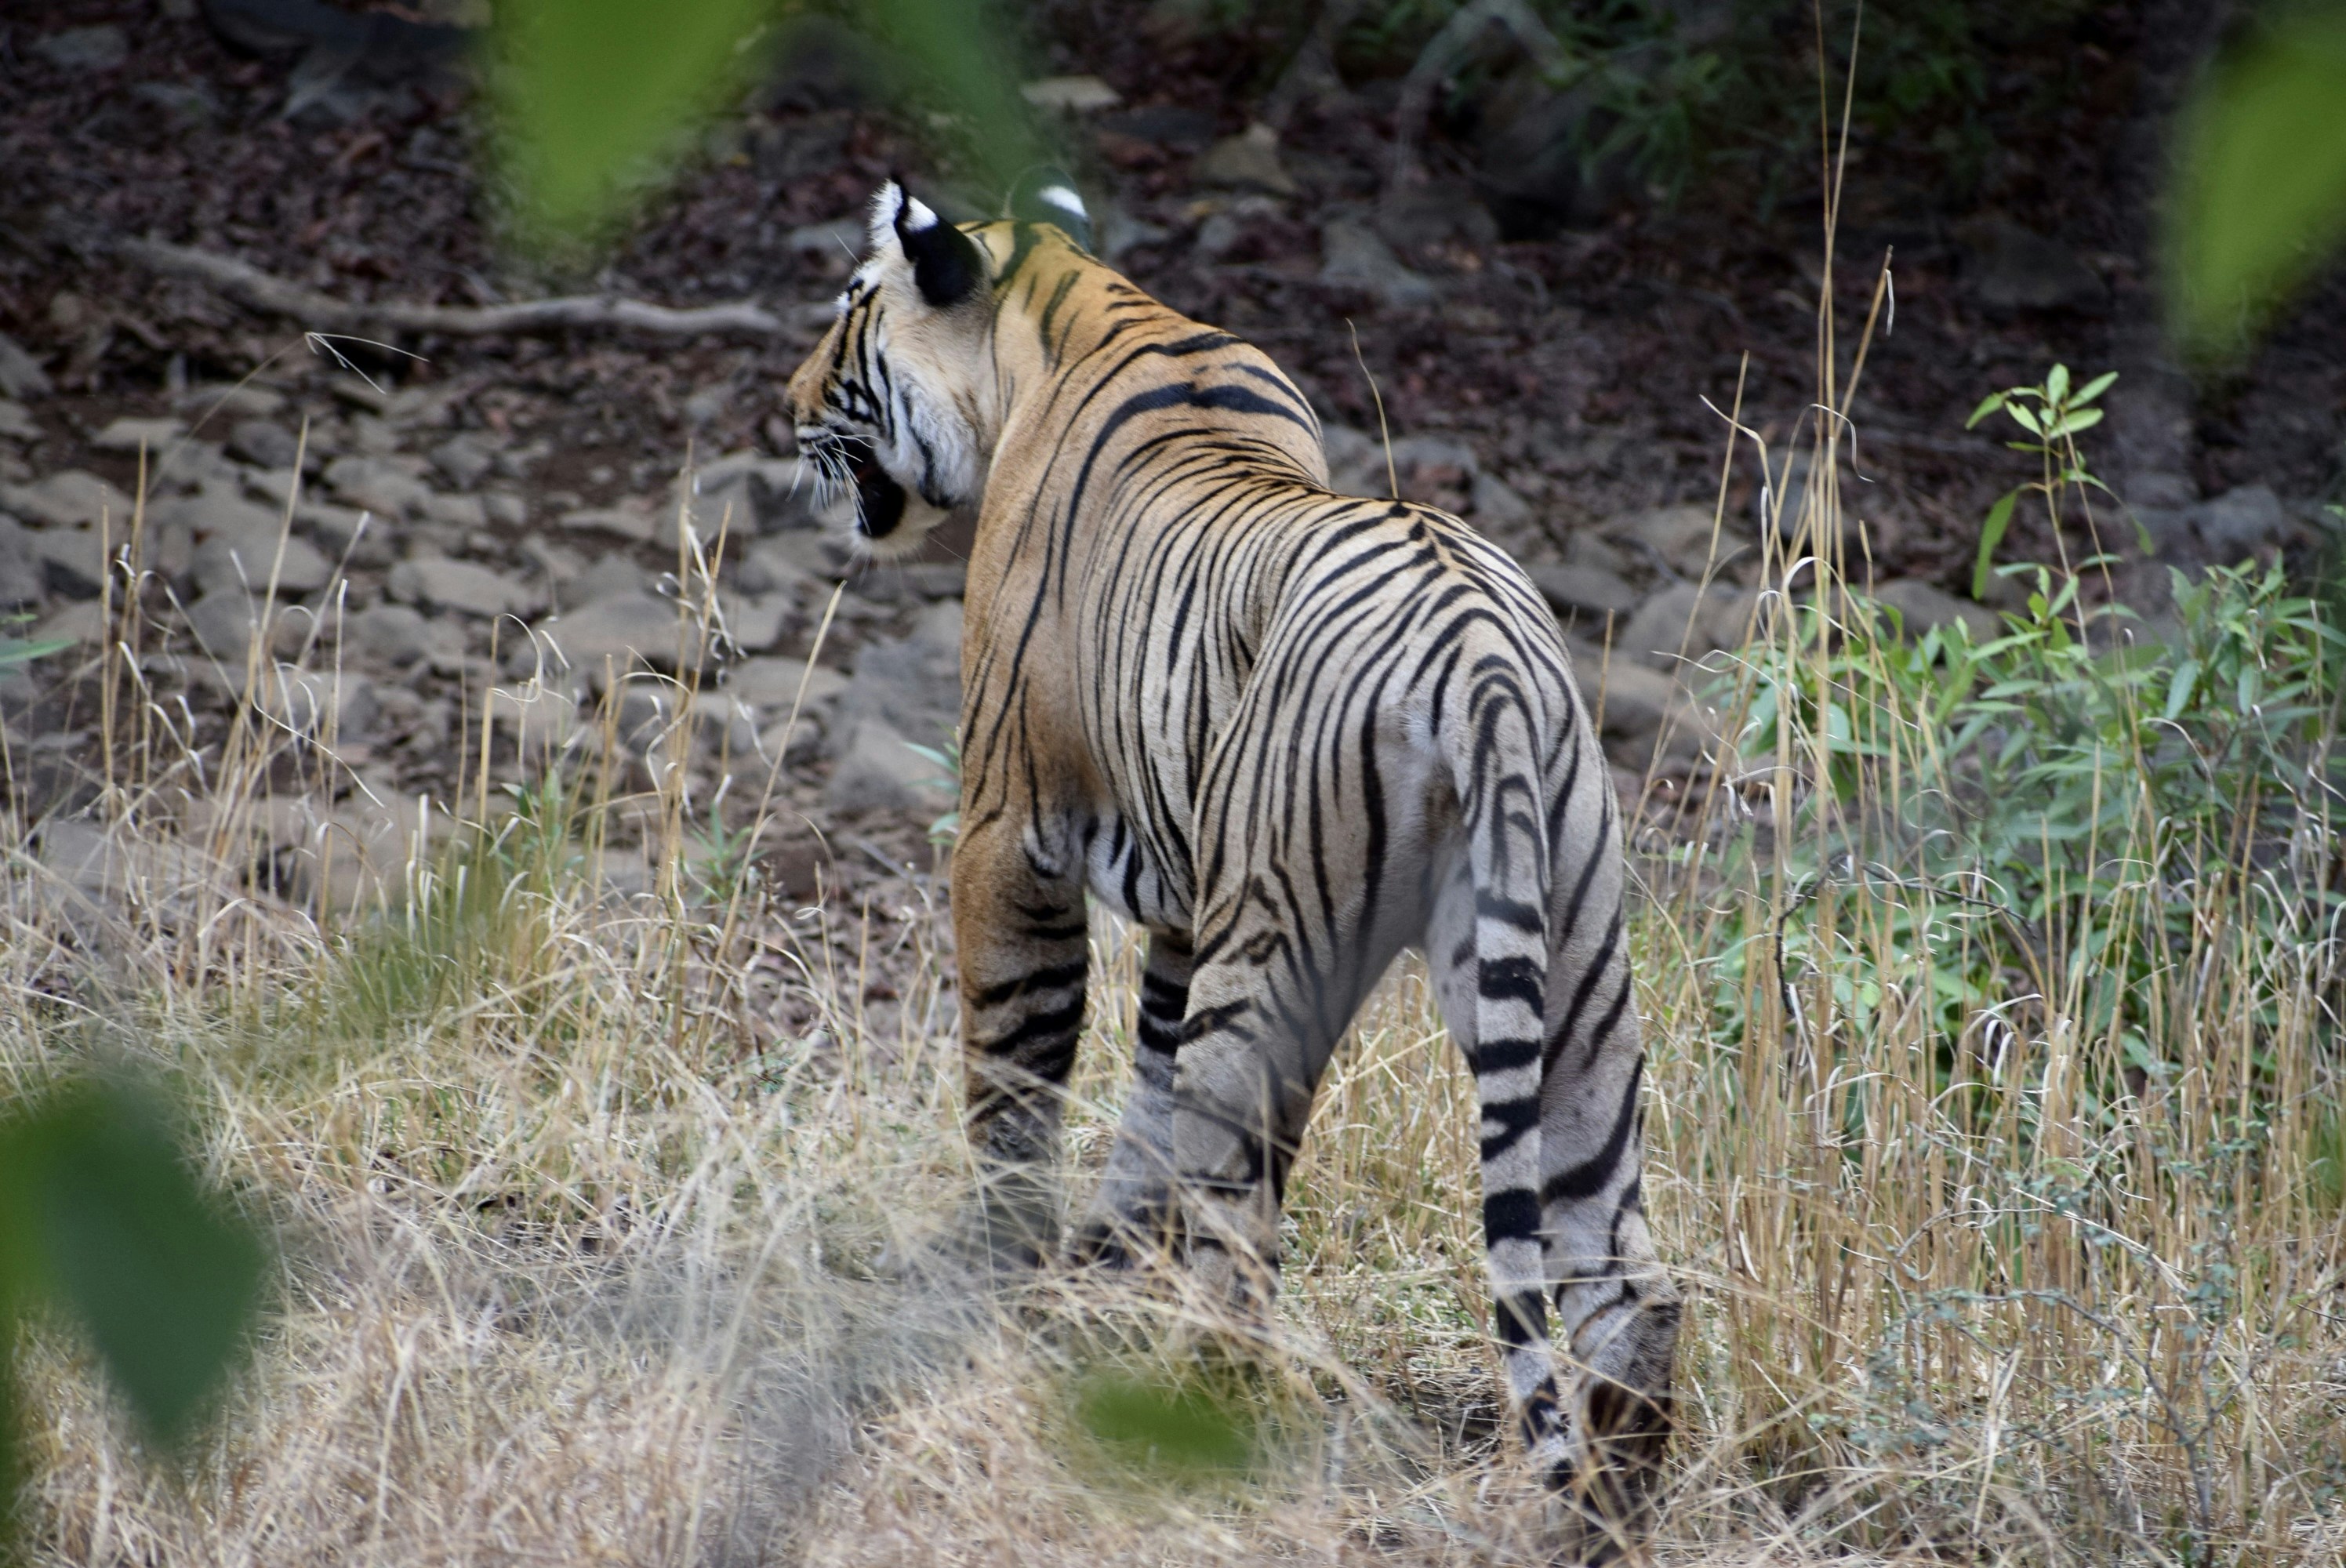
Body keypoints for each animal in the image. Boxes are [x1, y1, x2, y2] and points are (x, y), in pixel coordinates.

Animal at [785, 171, 1680, 1513]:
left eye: (850, 305)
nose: (782, 406)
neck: (1073, 310)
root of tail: (1484, 661)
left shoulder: (1007, 829)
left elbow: (1016, 1071)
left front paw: (1001, 1267)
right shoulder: (1180, 890)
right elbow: (1142, 1090)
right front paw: (1103, 1258)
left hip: (1272, 969)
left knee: (1244, 1244)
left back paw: (1184, 1426)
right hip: (1575, 977)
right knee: (1627, 1278)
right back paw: (1605, 1516)